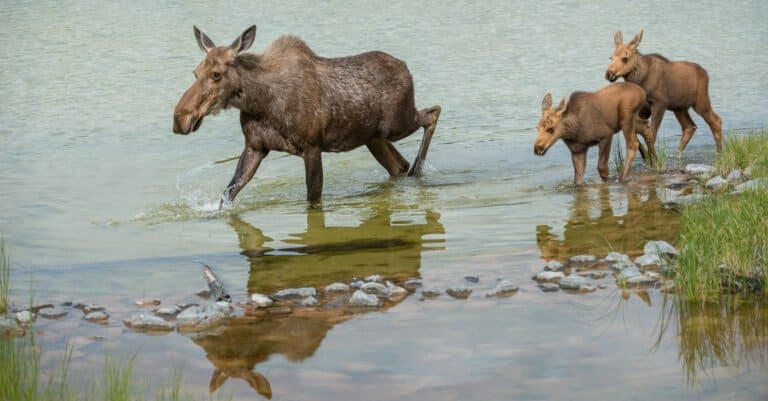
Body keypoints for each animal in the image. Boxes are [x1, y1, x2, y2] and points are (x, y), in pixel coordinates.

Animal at [173, 25, 441, 208]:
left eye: (216, 74)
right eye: (195, 72)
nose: (179, 119)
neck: (259, 102)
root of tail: (406, 68)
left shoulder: (312, 147)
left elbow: (313, 198)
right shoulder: (255, 147)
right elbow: (228, 193)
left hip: (397, 124)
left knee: (432, 113)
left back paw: (418, 170)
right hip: (373, 138)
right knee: (399, 165)